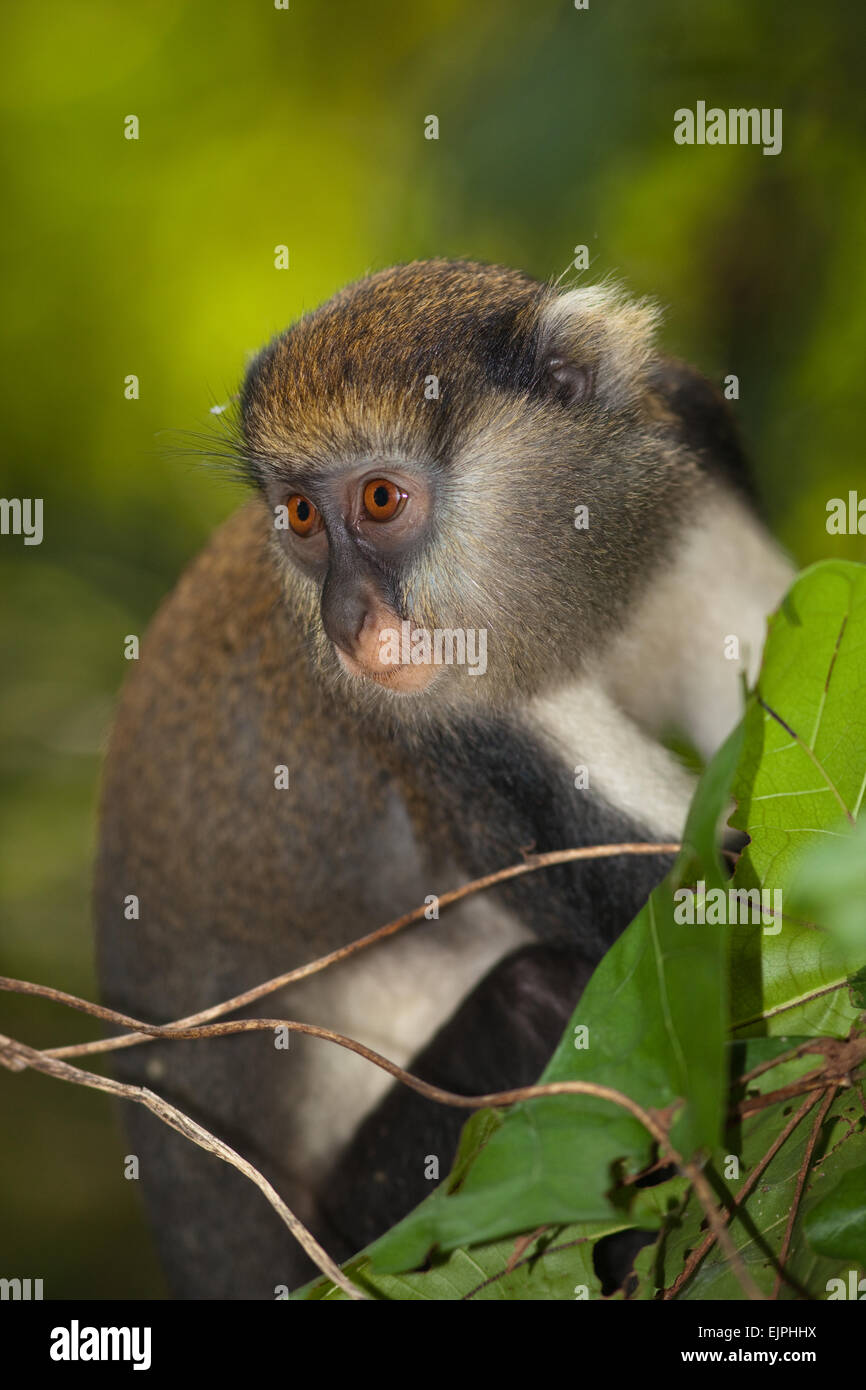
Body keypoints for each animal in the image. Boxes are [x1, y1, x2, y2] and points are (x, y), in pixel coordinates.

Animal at [95, 259, 794, 1299]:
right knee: (538, 988)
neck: (568, 590)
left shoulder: (690, 450)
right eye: (302, 516)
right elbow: (701, 900)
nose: (350, 621)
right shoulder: (444, 736)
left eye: (381, 501)